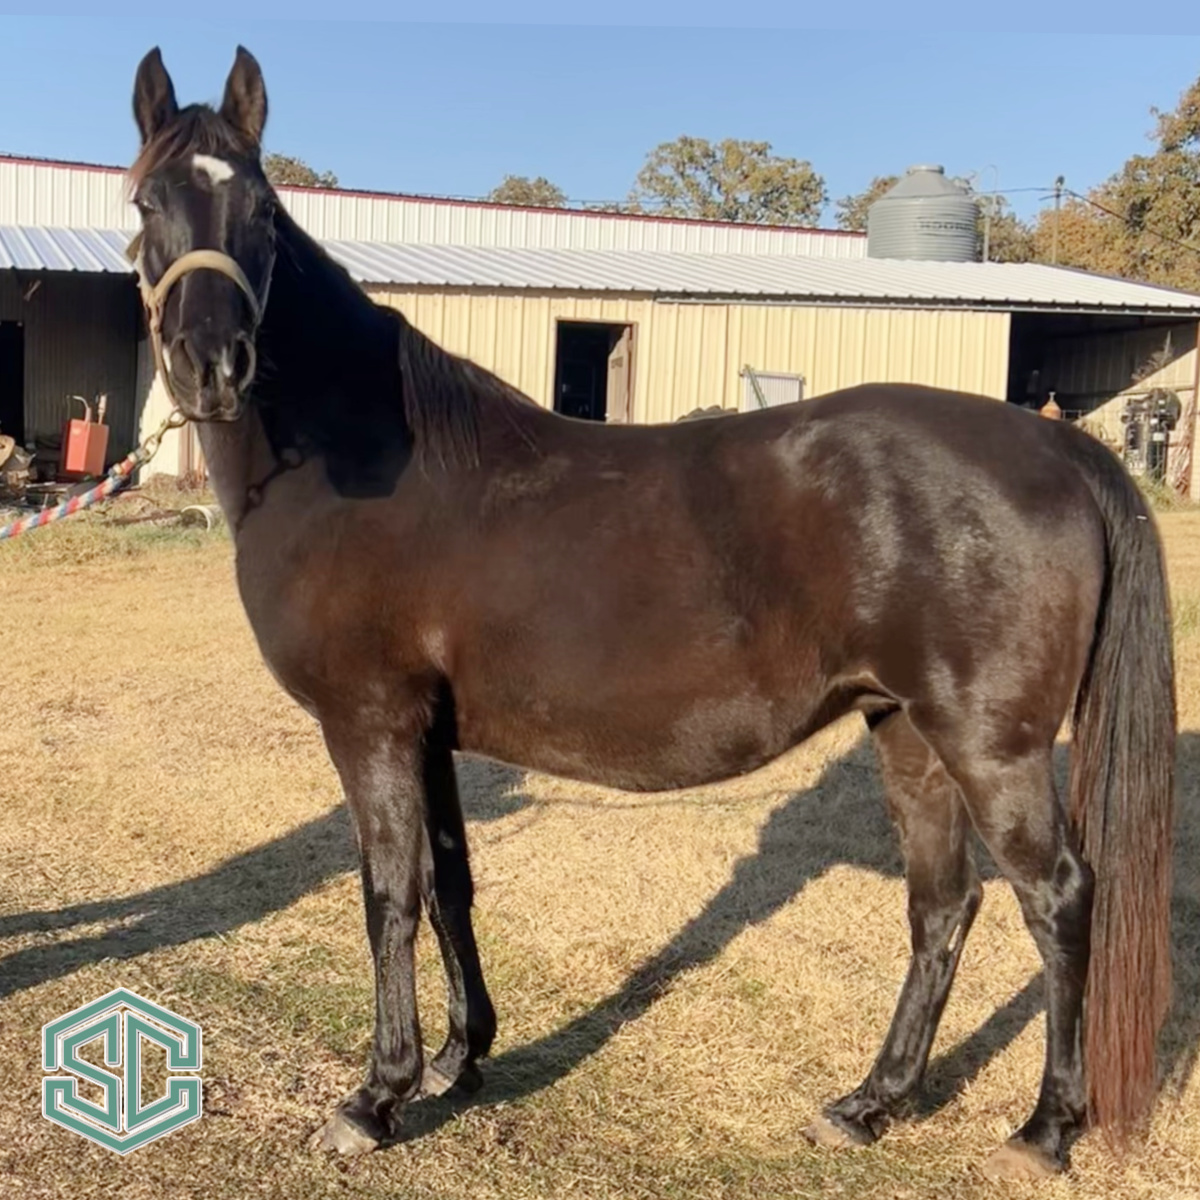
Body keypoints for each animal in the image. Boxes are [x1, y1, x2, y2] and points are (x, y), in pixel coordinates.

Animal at [126, 46, 1175, 1182]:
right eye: (146, 200)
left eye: (262, 213)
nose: (210, 368)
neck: (360, 460)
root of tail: (1059, 444)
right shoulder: (429, 736)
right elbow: (450, 884)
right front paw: (460, 1057)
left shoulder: (371, 725)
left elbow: (388, 896)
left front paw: (376, 1098)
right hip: (909, 733)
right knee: (944, 906)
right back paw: (870, 1104)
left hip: (993, 748)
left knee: (1057, 897)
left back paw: (1044, 1129)